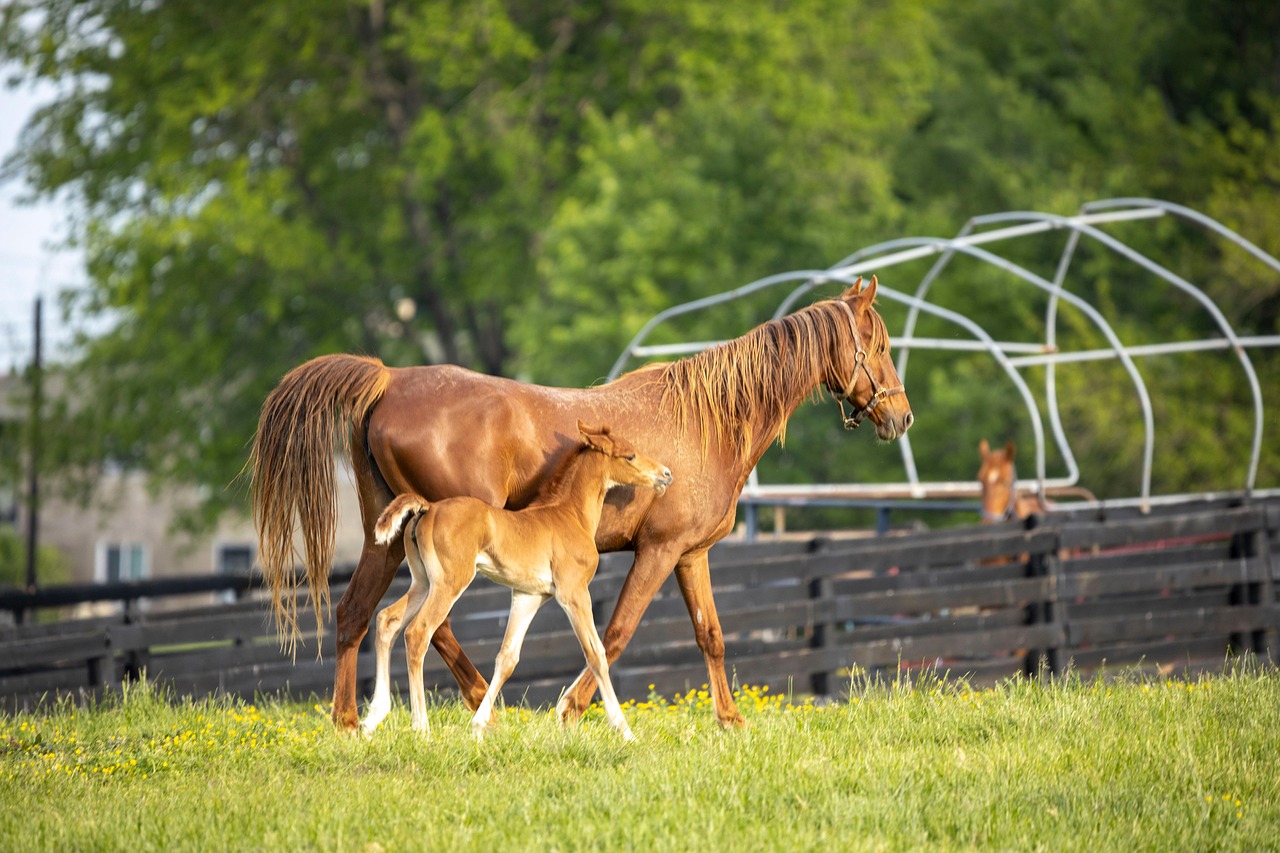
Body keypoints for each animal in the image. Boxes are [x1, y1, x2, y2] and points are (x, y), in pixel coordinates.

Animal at [360, 422, 672, 741]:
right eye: (630, 455)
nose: (666, 474)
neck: (570, 516)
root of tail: (428, 508)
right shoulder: (573, 592)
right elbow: (595, 653)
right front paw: (625, 732)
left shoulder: (528, 595)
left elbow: (507, 657)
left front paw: (478, 727)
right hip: (450, 583)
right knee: (417, 633)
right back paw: (421, 727)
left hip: (423, 582)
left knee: (387, 619)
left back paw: (372, 718)